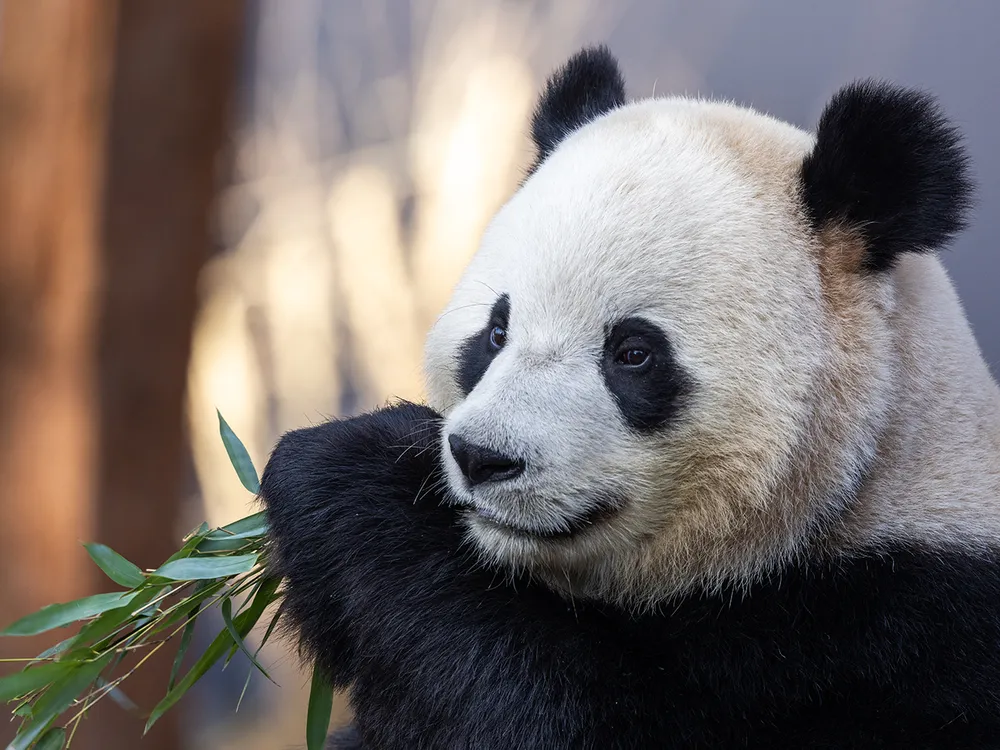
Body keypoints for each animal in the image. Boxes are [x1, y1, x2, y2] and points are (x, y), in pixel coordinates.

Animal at [261, 46, 1000, 748]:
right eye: (496, 332)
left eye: (633, 353)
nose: (481, 458)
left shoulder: (898, 637)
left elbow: (549, 713)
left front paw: (347, 470)